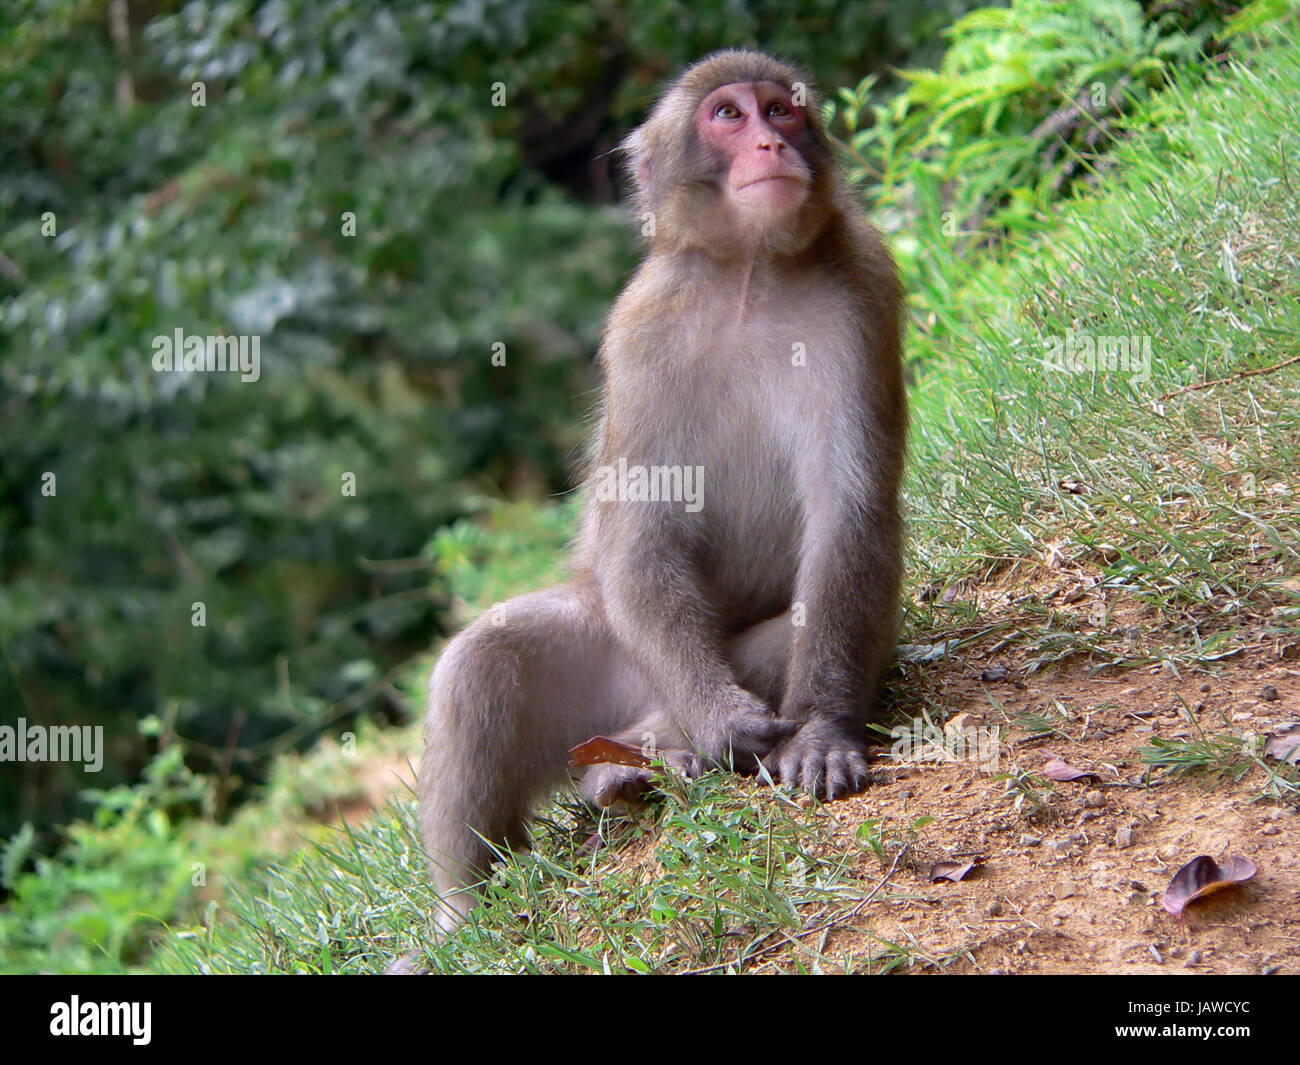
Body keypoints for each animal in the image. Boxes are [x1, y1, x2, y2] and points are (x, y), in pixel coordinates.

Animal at [417, 49, 905, 935]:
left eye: (781, 110)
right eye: (728, 116)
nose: (769, 143)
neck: (750, 272)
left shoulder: (862, 288)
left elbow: (849, 514)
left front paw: (821, 731)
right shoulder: (640, 328)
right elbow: (640, 532)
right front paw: (721, 718)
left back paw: (649, 754)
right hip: (614, 648)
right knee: (482, 661)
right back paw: (467, 910)